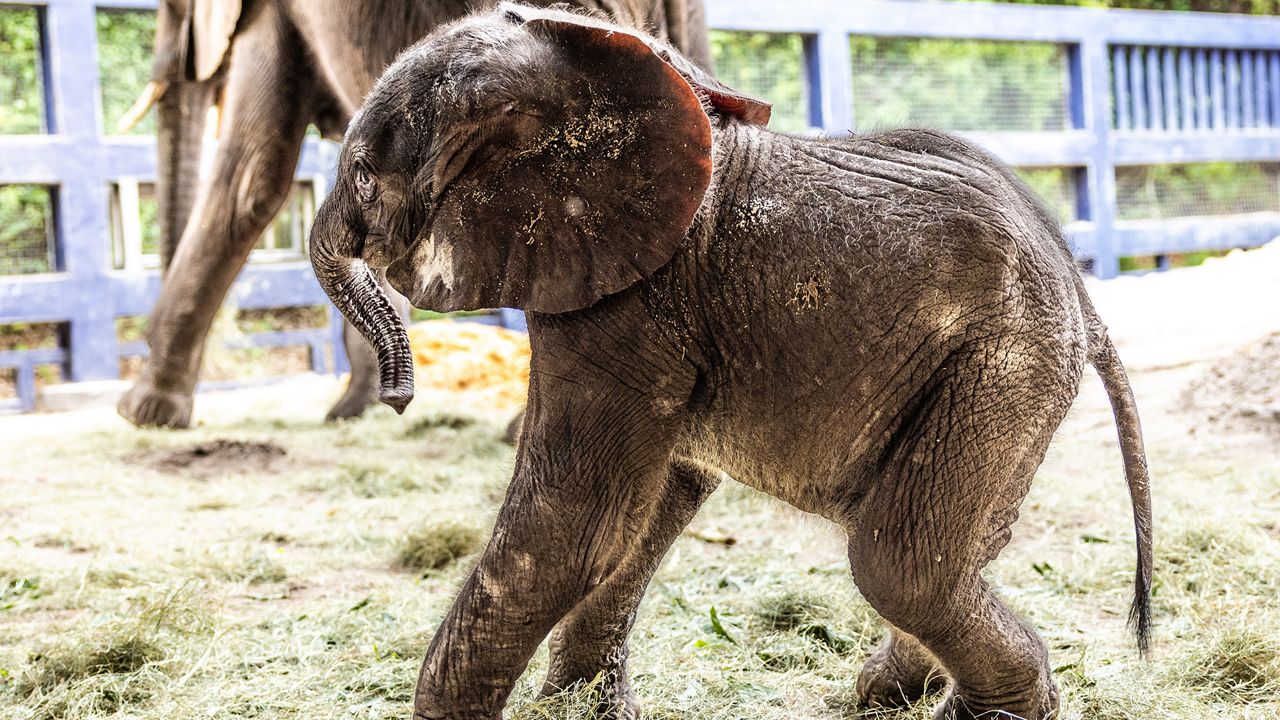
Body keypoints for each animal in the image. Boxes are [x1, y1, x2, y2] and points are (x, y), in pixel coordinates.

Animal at [309, 4, 1152, 712]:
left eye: (364, 175)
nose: (397, 398)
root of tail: (1082, 294)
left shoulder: (629, 303)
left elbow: (577, 523)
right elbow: (649, 508)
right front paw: (582, 711)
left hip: (1001, 362)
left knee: (901, 564)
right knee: (953, 546)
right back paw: (887, 691)